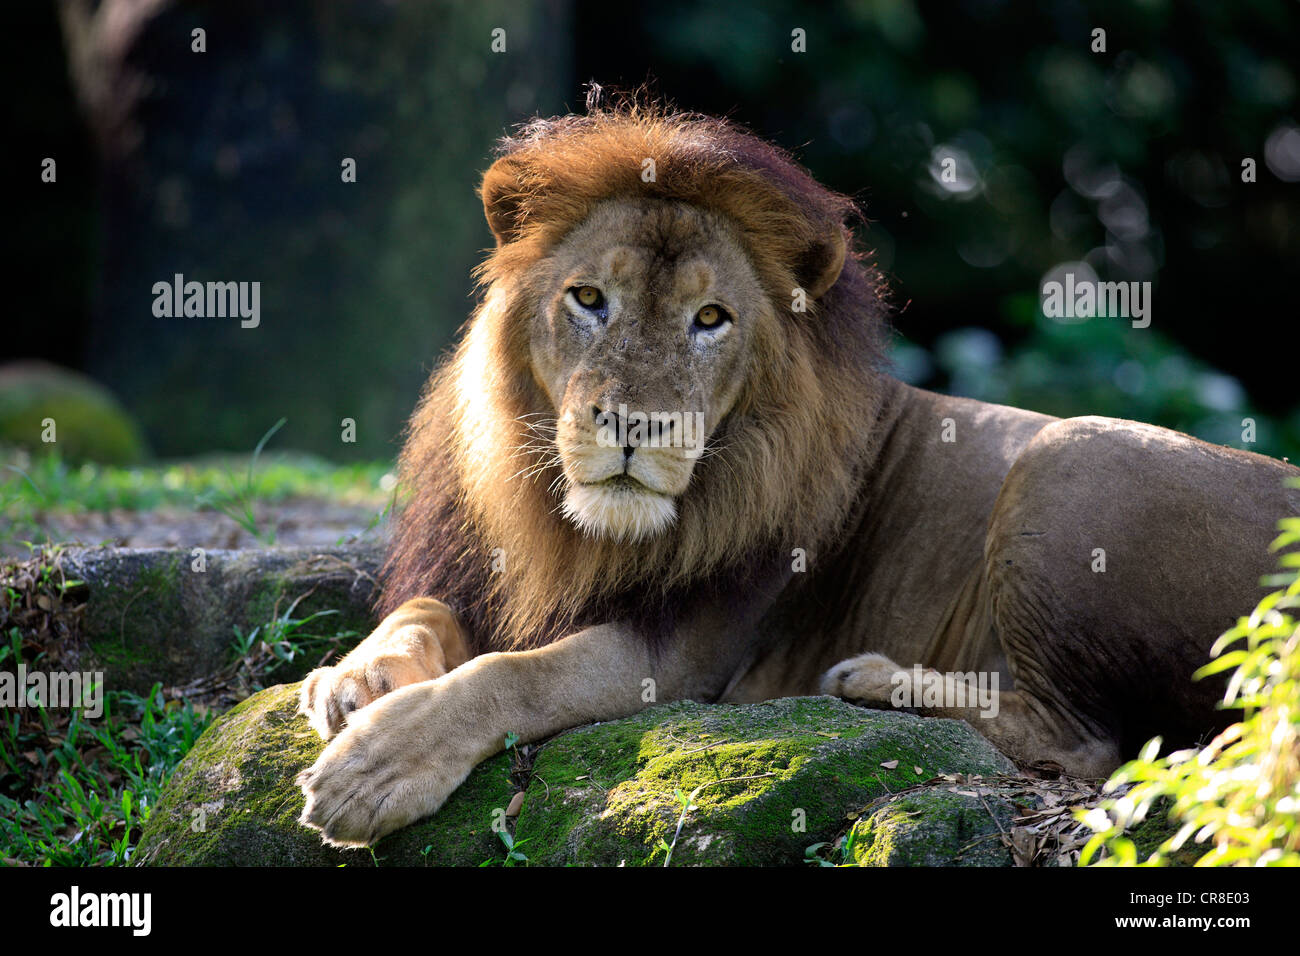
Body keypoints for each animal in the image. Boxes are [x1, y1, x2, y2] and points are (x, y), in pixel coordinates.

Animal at [296, 97, 1300, 848]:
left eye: (711, 319)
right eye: (588, 298)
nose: (636, 426)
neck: (570, 522)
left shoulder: (687, 653)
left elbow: (516, 674)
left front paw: (378, 764)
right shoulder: (489, 569)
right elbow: (425, 613)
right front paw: (353, 678)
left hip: (1070, 457)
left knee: (1090, 745)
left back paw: (875, 683)